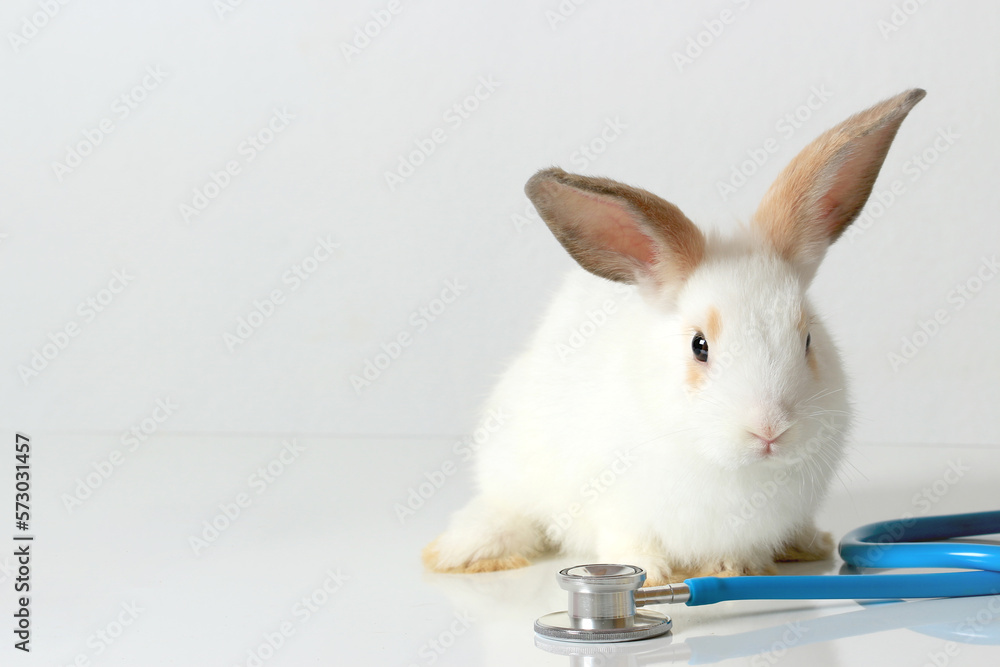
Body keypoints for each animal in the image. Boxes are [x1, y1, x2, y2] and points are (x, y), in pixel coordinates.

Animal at [424, 89, 925, 585]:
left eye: (806, 339)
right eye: (699, 346)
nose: (769, 430)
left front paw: (735, 568)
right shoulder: (617, 507)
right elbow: (629, 542)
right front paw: (649, 573)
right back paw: (465, 553)